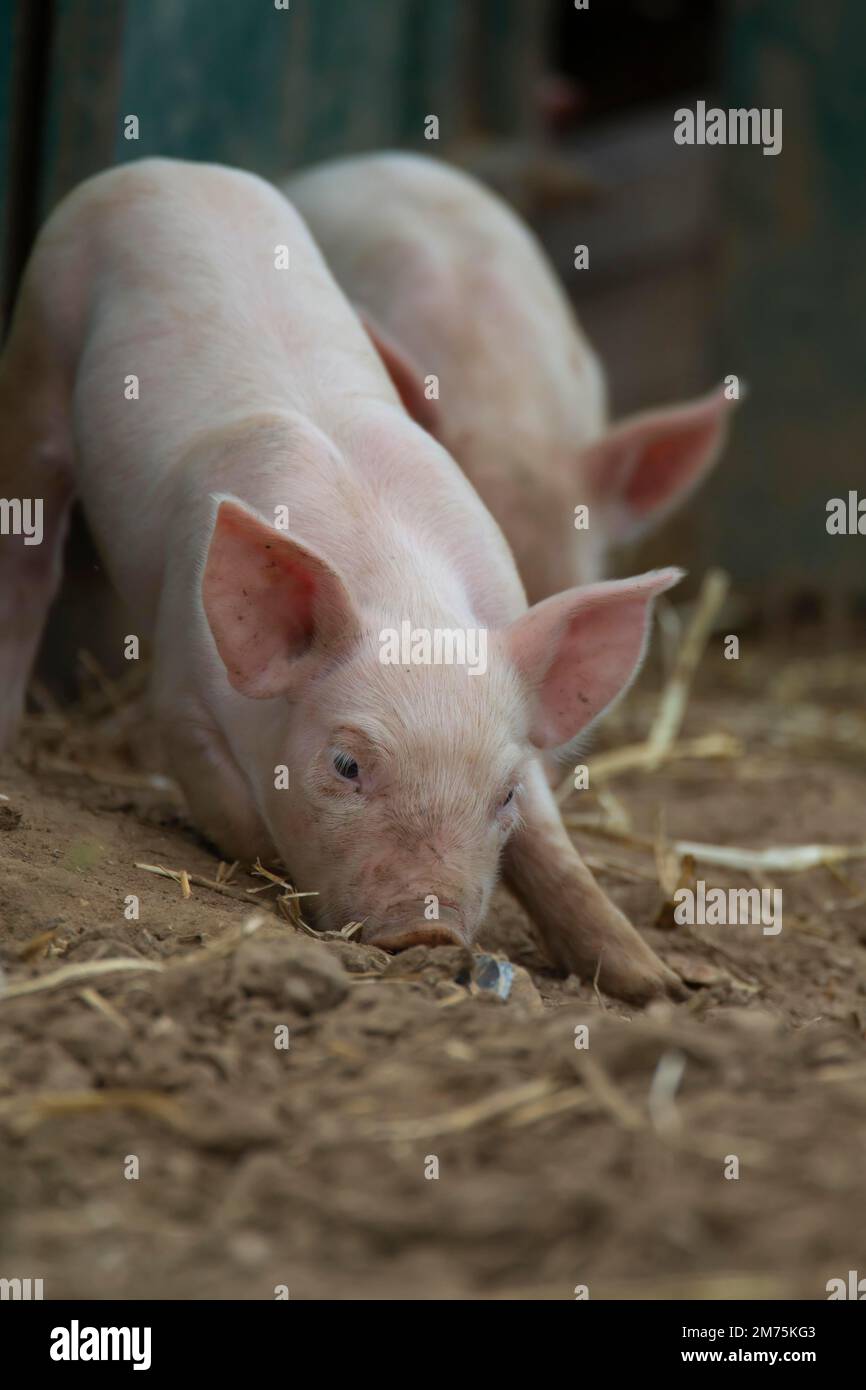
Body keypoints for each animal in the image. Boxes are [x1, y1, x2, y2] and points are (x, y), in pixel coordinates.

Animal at [0, 157, 683, 1003]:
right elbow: (241, 817)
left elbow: (555, 852)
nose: (427, 929)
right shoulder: (182, 689)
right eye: (347, 765)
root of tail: (169, 167)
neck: (400, 585)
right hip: (37, 353)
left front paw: (661, 983)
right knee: (26, 556)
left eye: (503, 794)